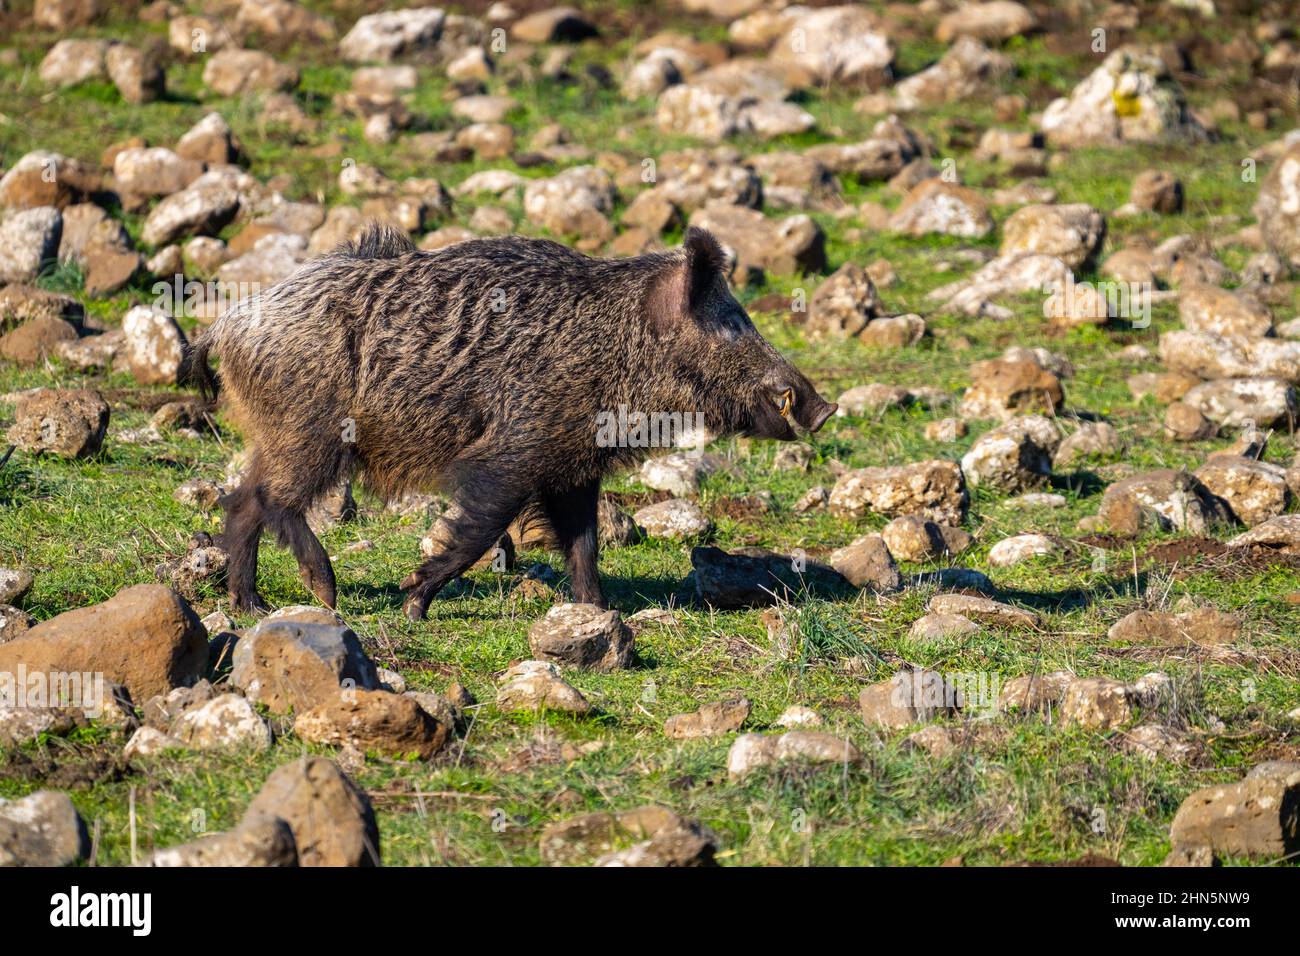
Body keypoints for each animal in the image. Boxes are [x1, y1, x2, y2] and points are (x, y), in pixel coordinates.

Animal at [189, 226, 836, 619]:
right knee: (272, 499)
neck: (618, 346)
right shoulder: (514, 451)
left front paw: (597, 613)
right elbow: (479, 528)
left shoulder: (574, 467)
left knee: (241, 500)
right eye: (730, 324)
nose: (821, 405)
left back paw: (250, 606)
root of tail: (227, 325)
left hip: (279, 432)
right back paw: (324, 593)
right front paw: (413, 602)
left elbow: (584, 542)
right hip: (311, 429)